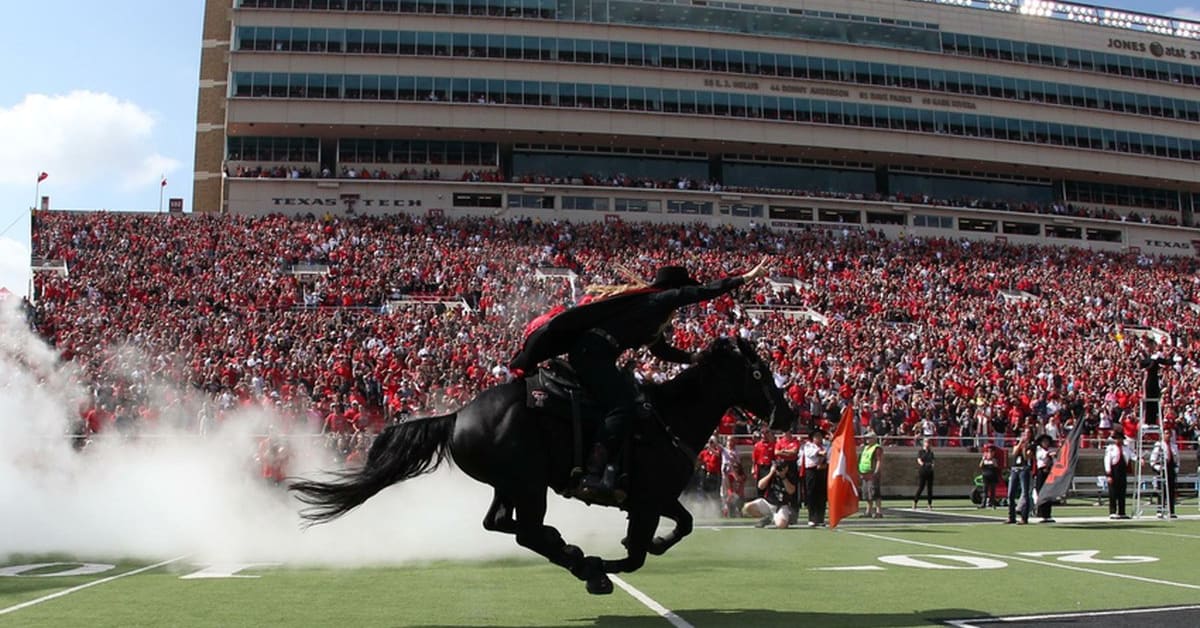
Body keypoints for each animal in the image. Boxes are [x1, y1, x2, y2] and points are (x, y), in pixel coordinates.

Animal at [289, 336, 795, 595]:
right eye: (759, 372)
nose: (788, 415)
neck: (667, 418)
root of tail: (458, 416)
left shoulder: (657, 498)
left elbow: (681, 526)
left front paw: (649, 545)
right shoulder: (648, 501)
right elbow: (634, 555)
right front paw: (607, 561)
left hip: (511, 484)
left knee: (501, 523)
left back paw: (567, 549)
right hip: (530, 484)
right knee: (525, 530)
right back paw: (582, 563)